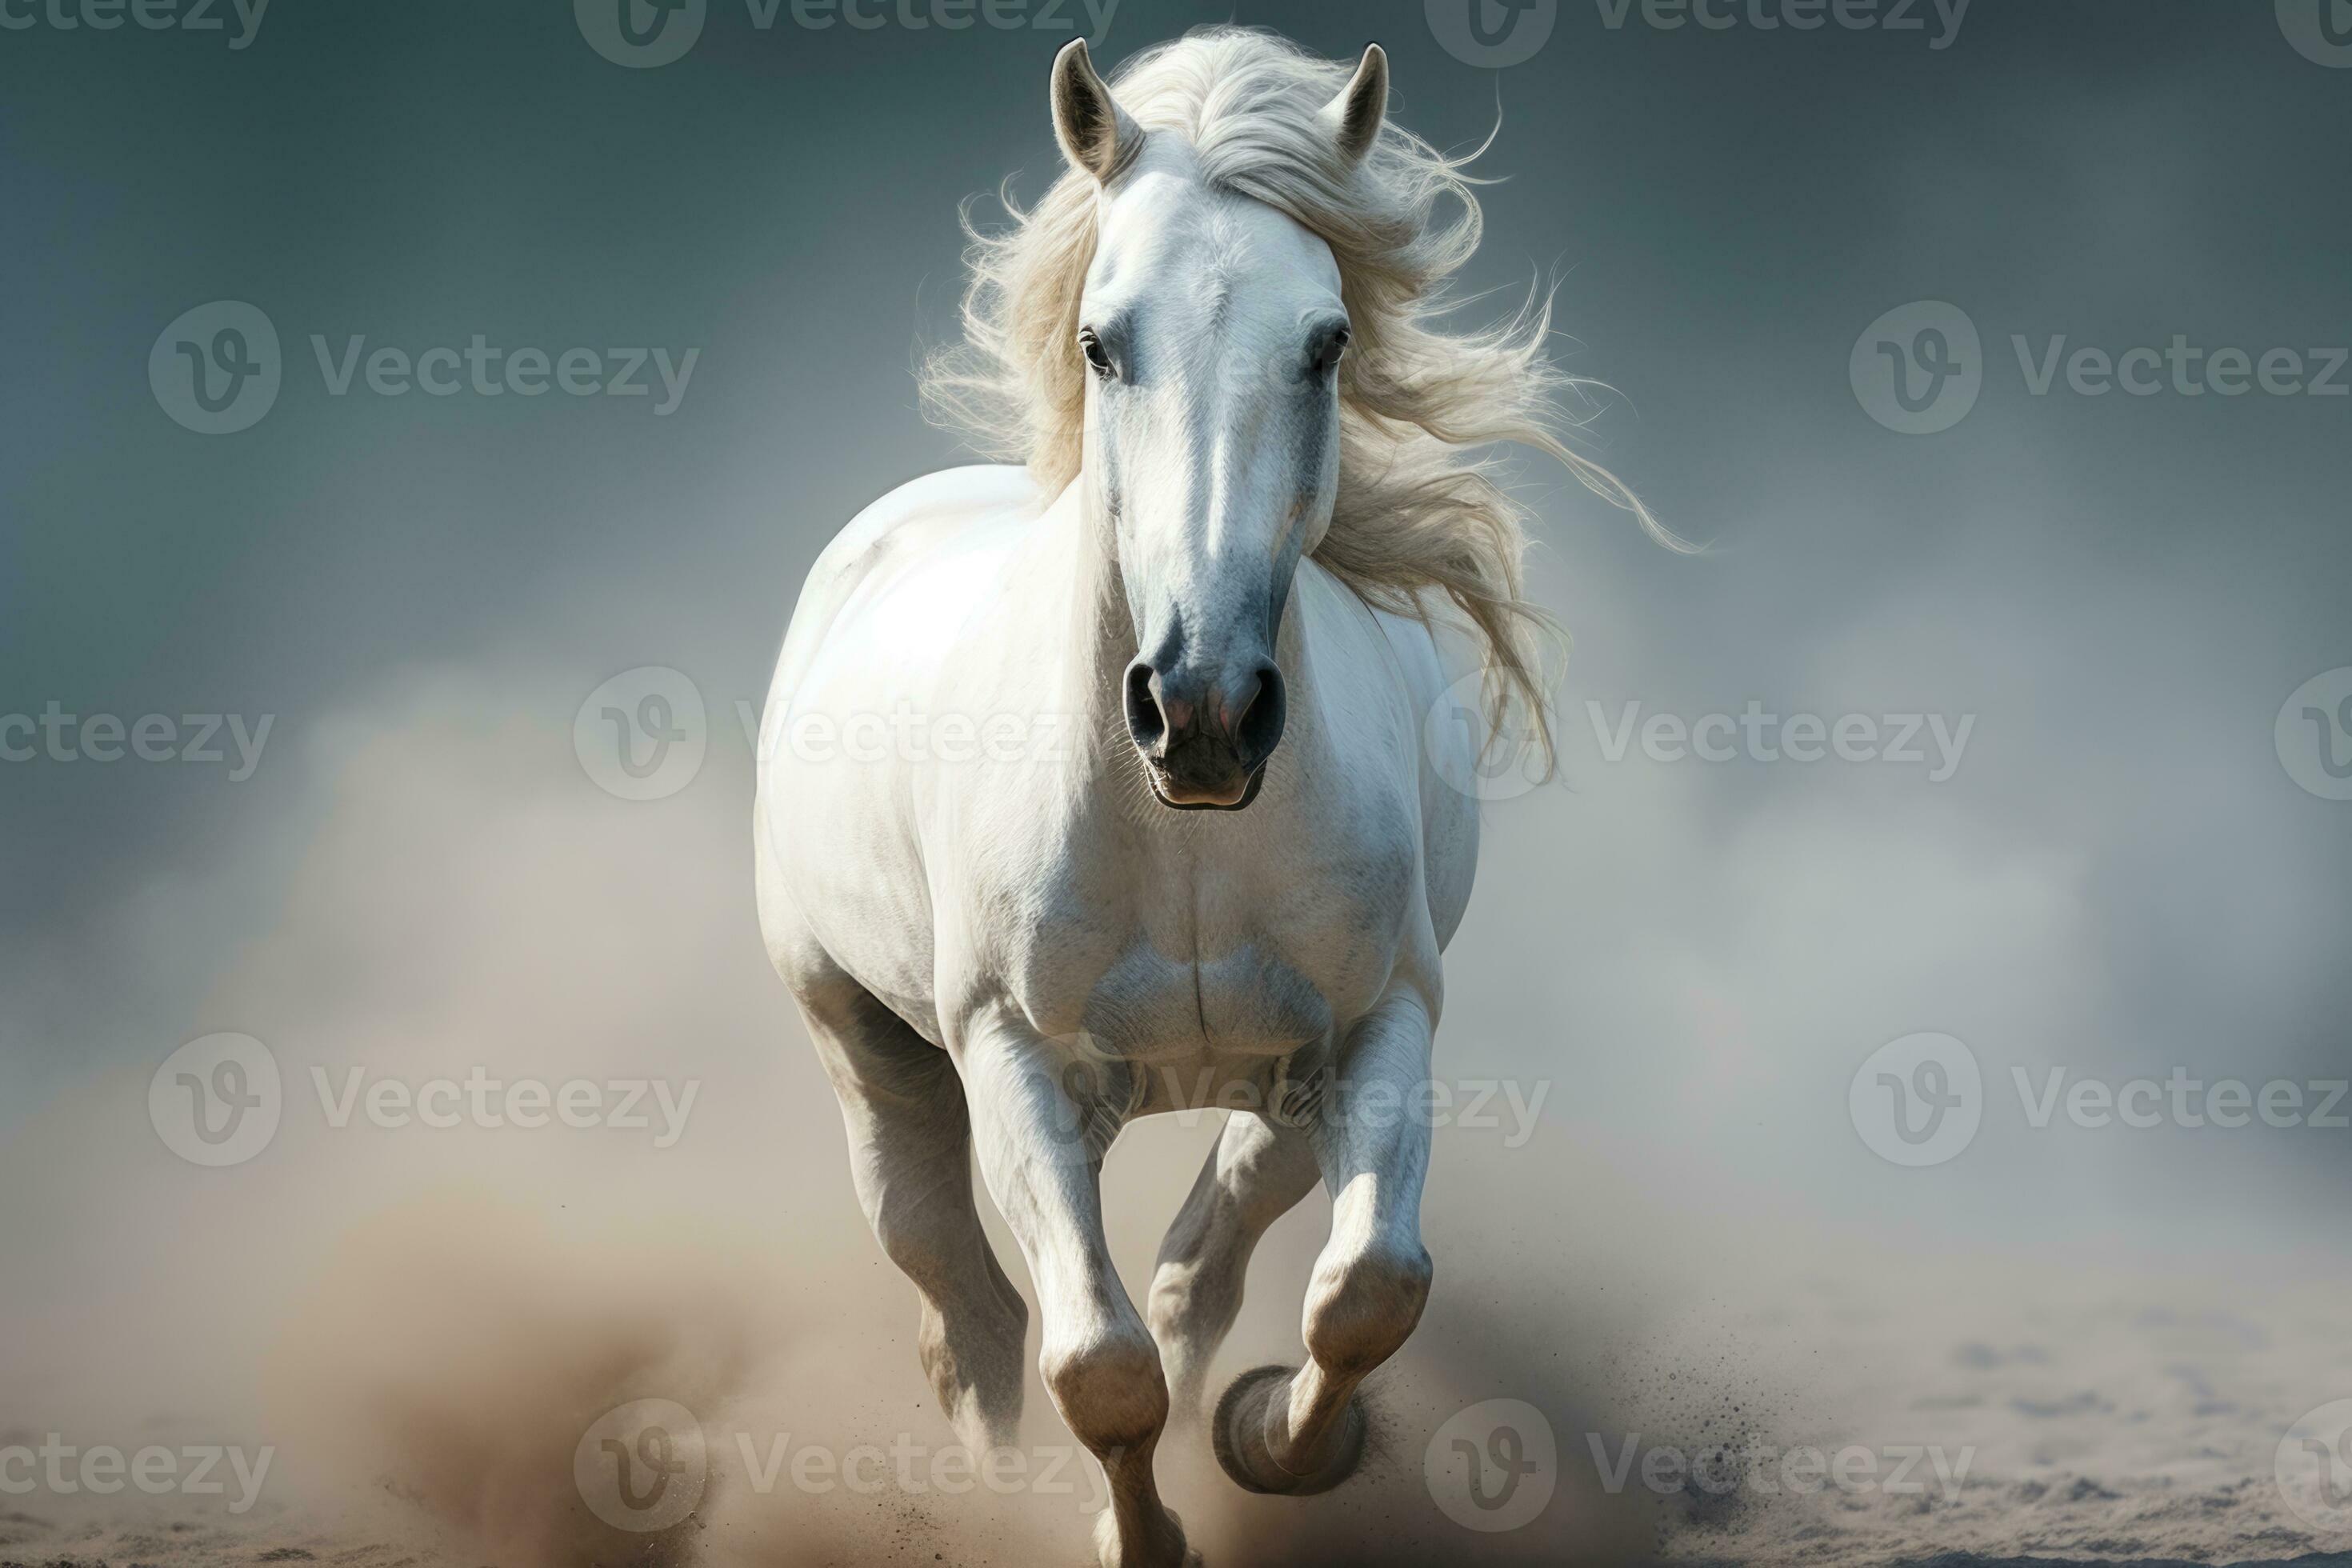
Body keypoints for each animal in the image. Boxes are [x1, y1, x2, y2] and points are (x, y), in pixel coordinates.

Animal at [753, 27, 1671, 1566]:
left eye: (1328, 340)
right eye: (1100, 341)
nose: (1202, 714)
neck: (1179, 838)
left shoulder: (1375, 1031)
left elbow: (1367, 1289)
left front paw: (1269, 1443)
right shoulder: (1015, 1063)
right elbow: (1093, 1363)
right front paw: (1142, 1534)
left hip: (1271, 1089)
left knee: (1200, 1262)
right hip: (869, 1050)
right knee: (969, 1309)